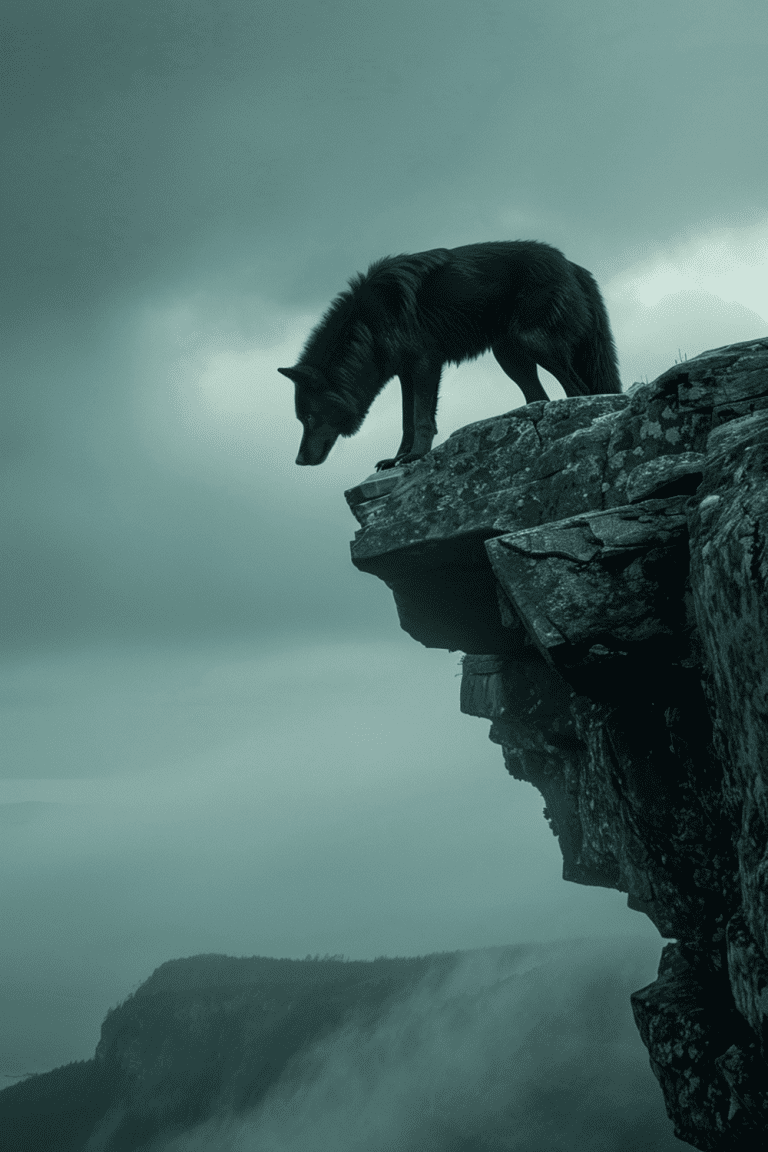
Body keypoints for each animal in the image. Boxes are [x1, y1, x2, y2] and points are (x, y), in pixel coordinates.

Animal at [278, 240, 621, 468]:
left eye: (308, 418)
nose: (298, 461)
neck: (367, 325)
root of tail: (573, 265)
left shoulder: (425, 364)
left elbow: (421, 418)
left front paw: (417, 456)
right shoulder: (405, 373)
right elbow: (407, 419)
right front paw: (398, 458)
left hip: (535, 345)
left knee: (579, 389)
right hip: (510, 358)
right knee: (541, 397)